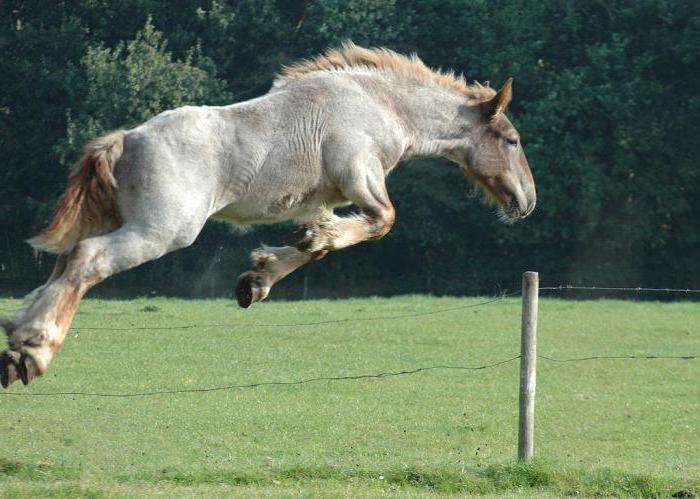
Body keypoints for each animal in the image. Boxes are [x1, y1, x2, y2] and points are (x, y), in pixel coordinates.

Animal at [0, 42, 536, 386]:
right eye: (512, 140)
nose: (527, 201)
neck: (380, 104)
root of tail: (126, 139)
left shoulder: (327, 198)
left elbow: (318, 244)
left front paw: (259, 278)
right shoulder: (360, 178)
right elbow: (381, 221)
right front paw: (289, 254)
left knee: (63, 264)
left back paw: (17, 342)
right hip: (160, 231)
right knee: (86, 260)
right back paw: (34, 349)